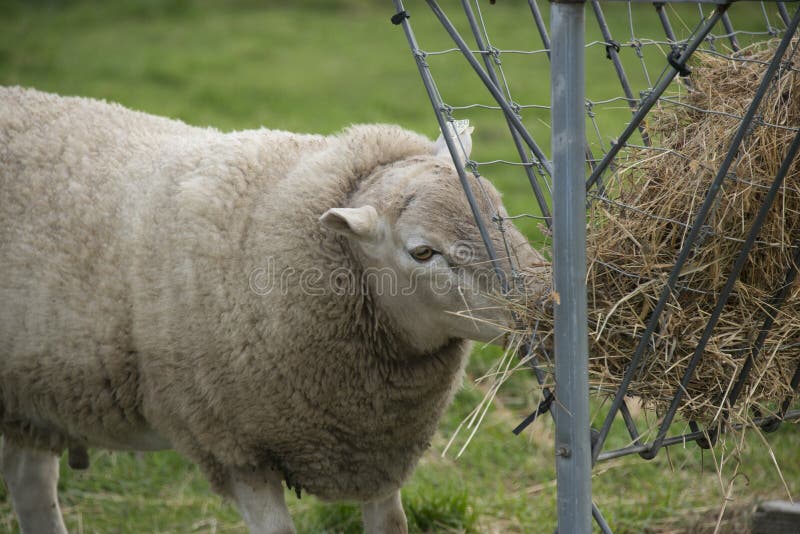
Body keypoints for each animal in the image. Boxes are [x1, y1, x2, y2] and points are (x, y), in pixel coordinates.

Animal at [0, 86, 544, 533]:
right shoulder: (234, 449)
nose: (543, 301)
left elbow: (393, 524)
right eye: (423, 252)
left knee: (30, 482)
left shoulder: (376, 447)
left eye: (497, 206)